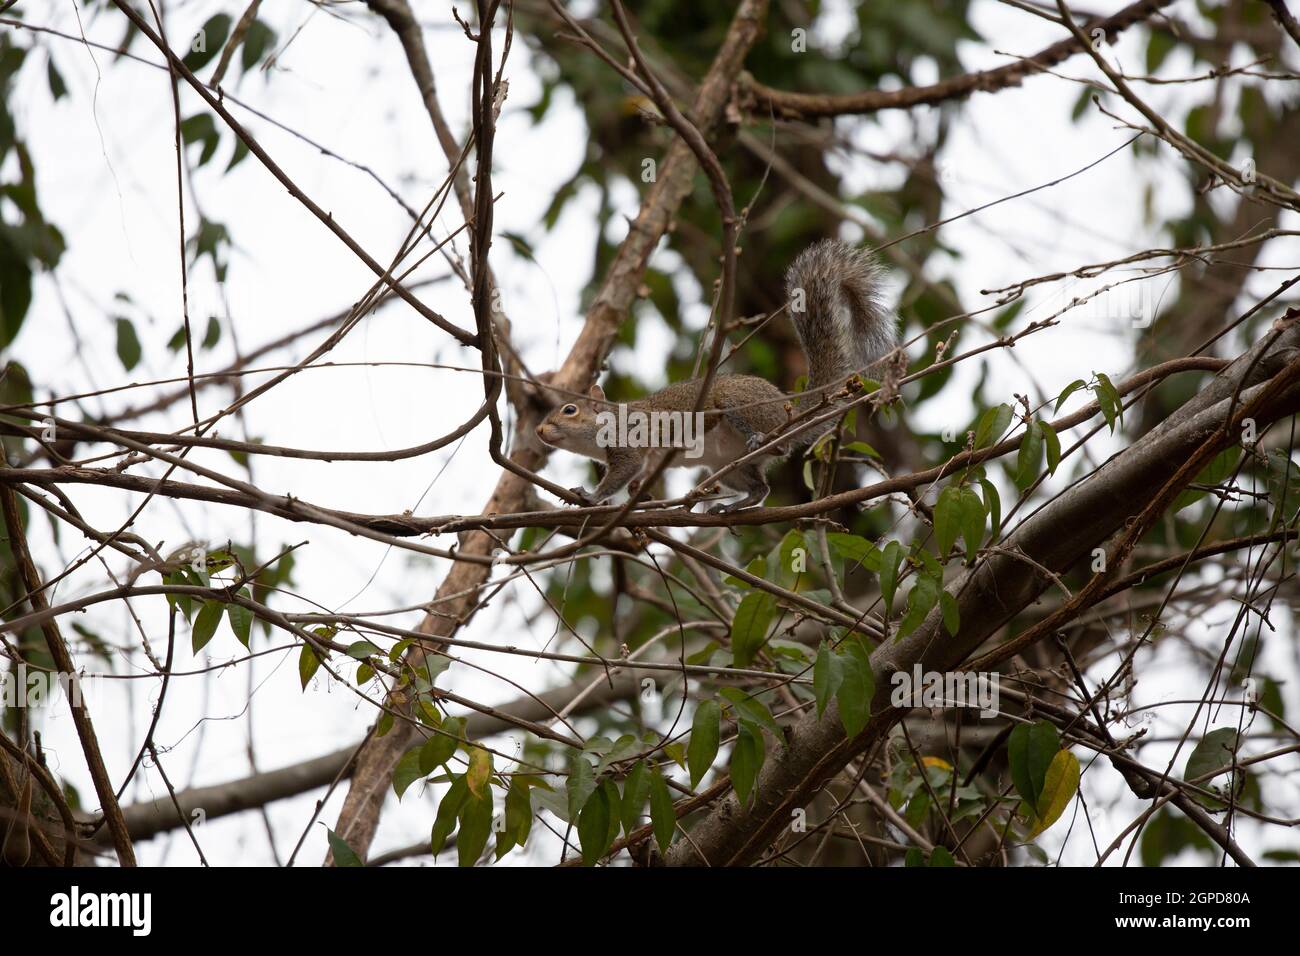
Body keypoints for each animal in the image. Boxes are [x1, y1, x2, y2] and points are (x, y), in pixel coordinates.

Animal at [535, 239, 895, 513]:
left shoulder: (627, 444)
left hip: (739, 405)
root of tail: (788, 409)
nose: (539, 430)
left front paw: (590, 496)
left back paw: (758, 440)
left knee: (771, 446)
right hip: (728, 467)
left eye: (570, 409)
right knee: (760, 489)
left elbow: (620, 474)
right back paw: (731, 507)